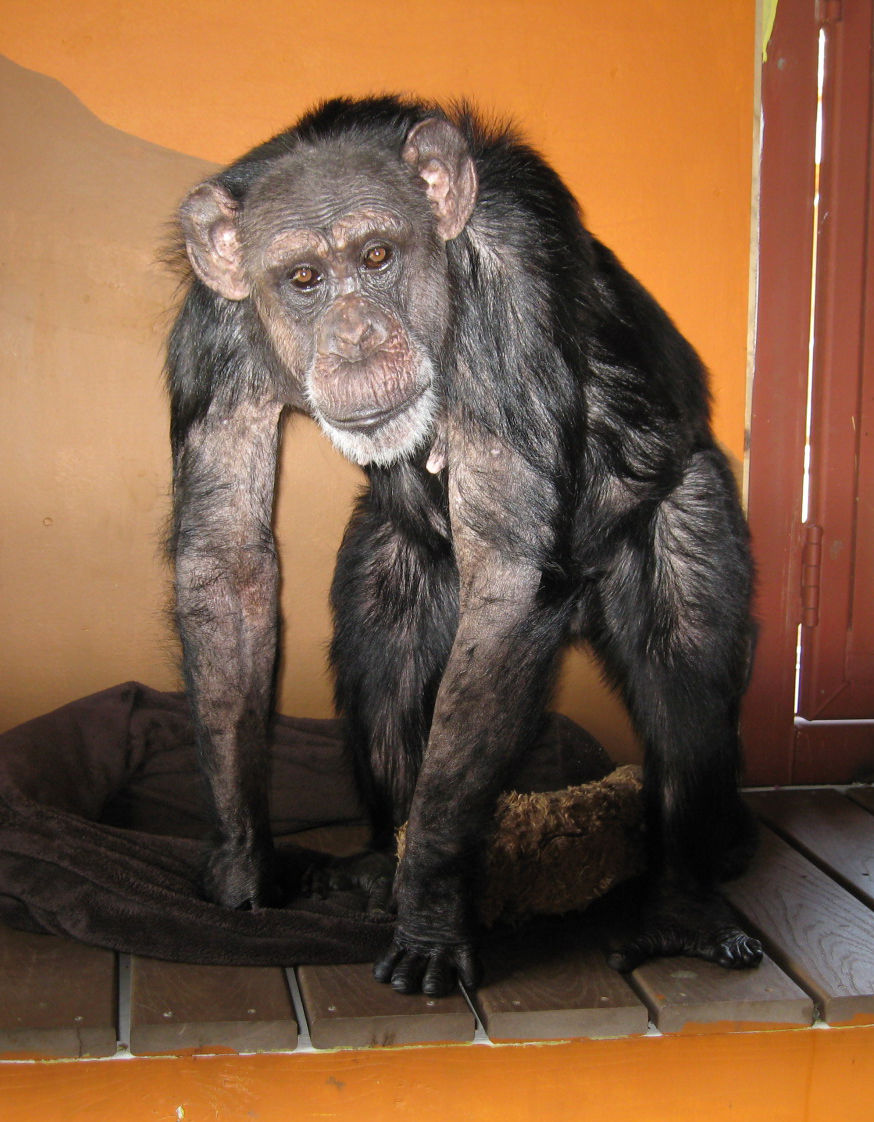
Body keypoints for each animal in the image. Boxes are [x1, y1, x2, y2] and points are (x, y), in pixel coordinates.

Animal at [167, 95, 762, 997]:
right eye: (303, 279)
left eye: (377, 255)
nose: (356, 334)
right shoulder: (212, 332)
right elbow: (224, 556)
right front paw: (241, 866)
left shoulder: (514, 283)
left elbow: (510, 578)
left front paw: (433, 909)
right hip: (403, 562)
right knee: (384, 641)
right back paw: (379, 863)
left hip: (688, 504)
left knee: (684, 665)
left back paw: (684, 905)